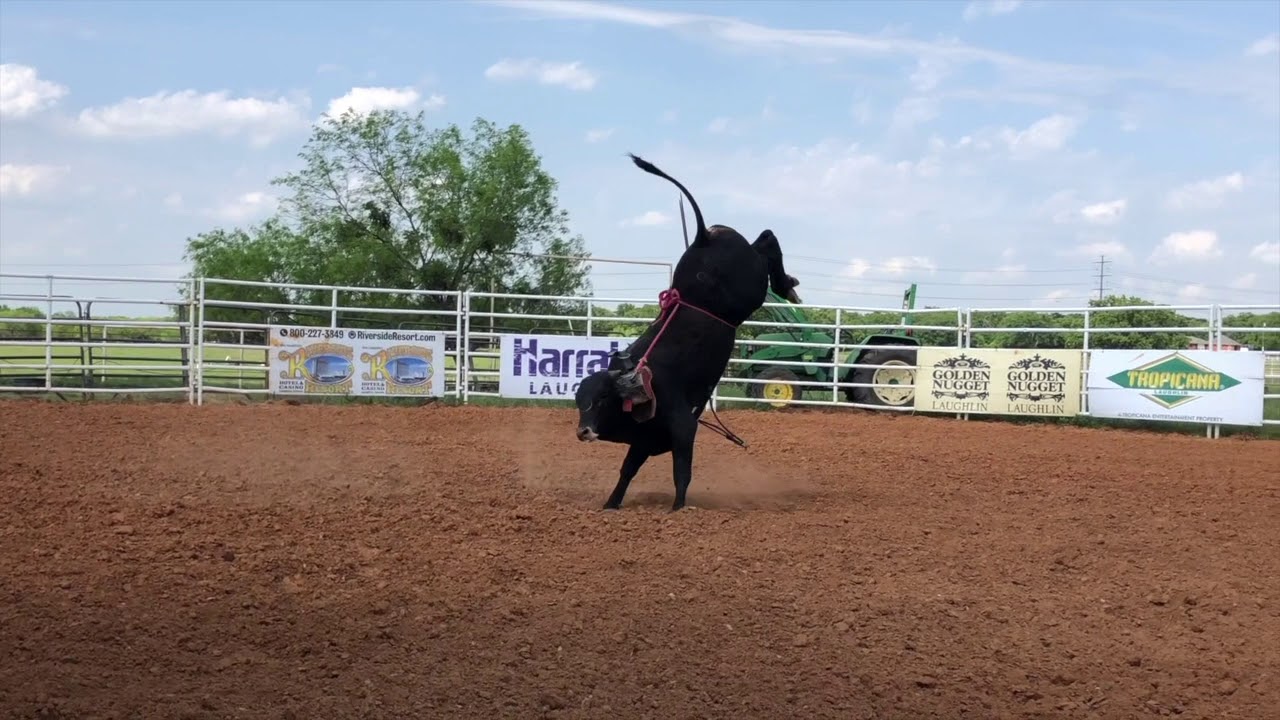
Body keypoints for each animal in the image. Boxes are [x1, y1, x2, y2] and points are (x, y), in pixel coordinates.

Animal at [574, 153, 801, 512]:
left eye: (602, 399)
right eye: (579, 401)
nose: (583, 431)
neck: (639, 384)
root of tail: (702, 237)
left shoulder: (683, 427)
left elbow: (682, 472)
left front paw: (678, 509)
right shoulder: (643, 441)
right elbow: (627, 471)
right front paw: (611, 504)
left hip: (750, 282)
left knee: (767, 240)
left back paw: (786, 285)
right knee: (764, 240)